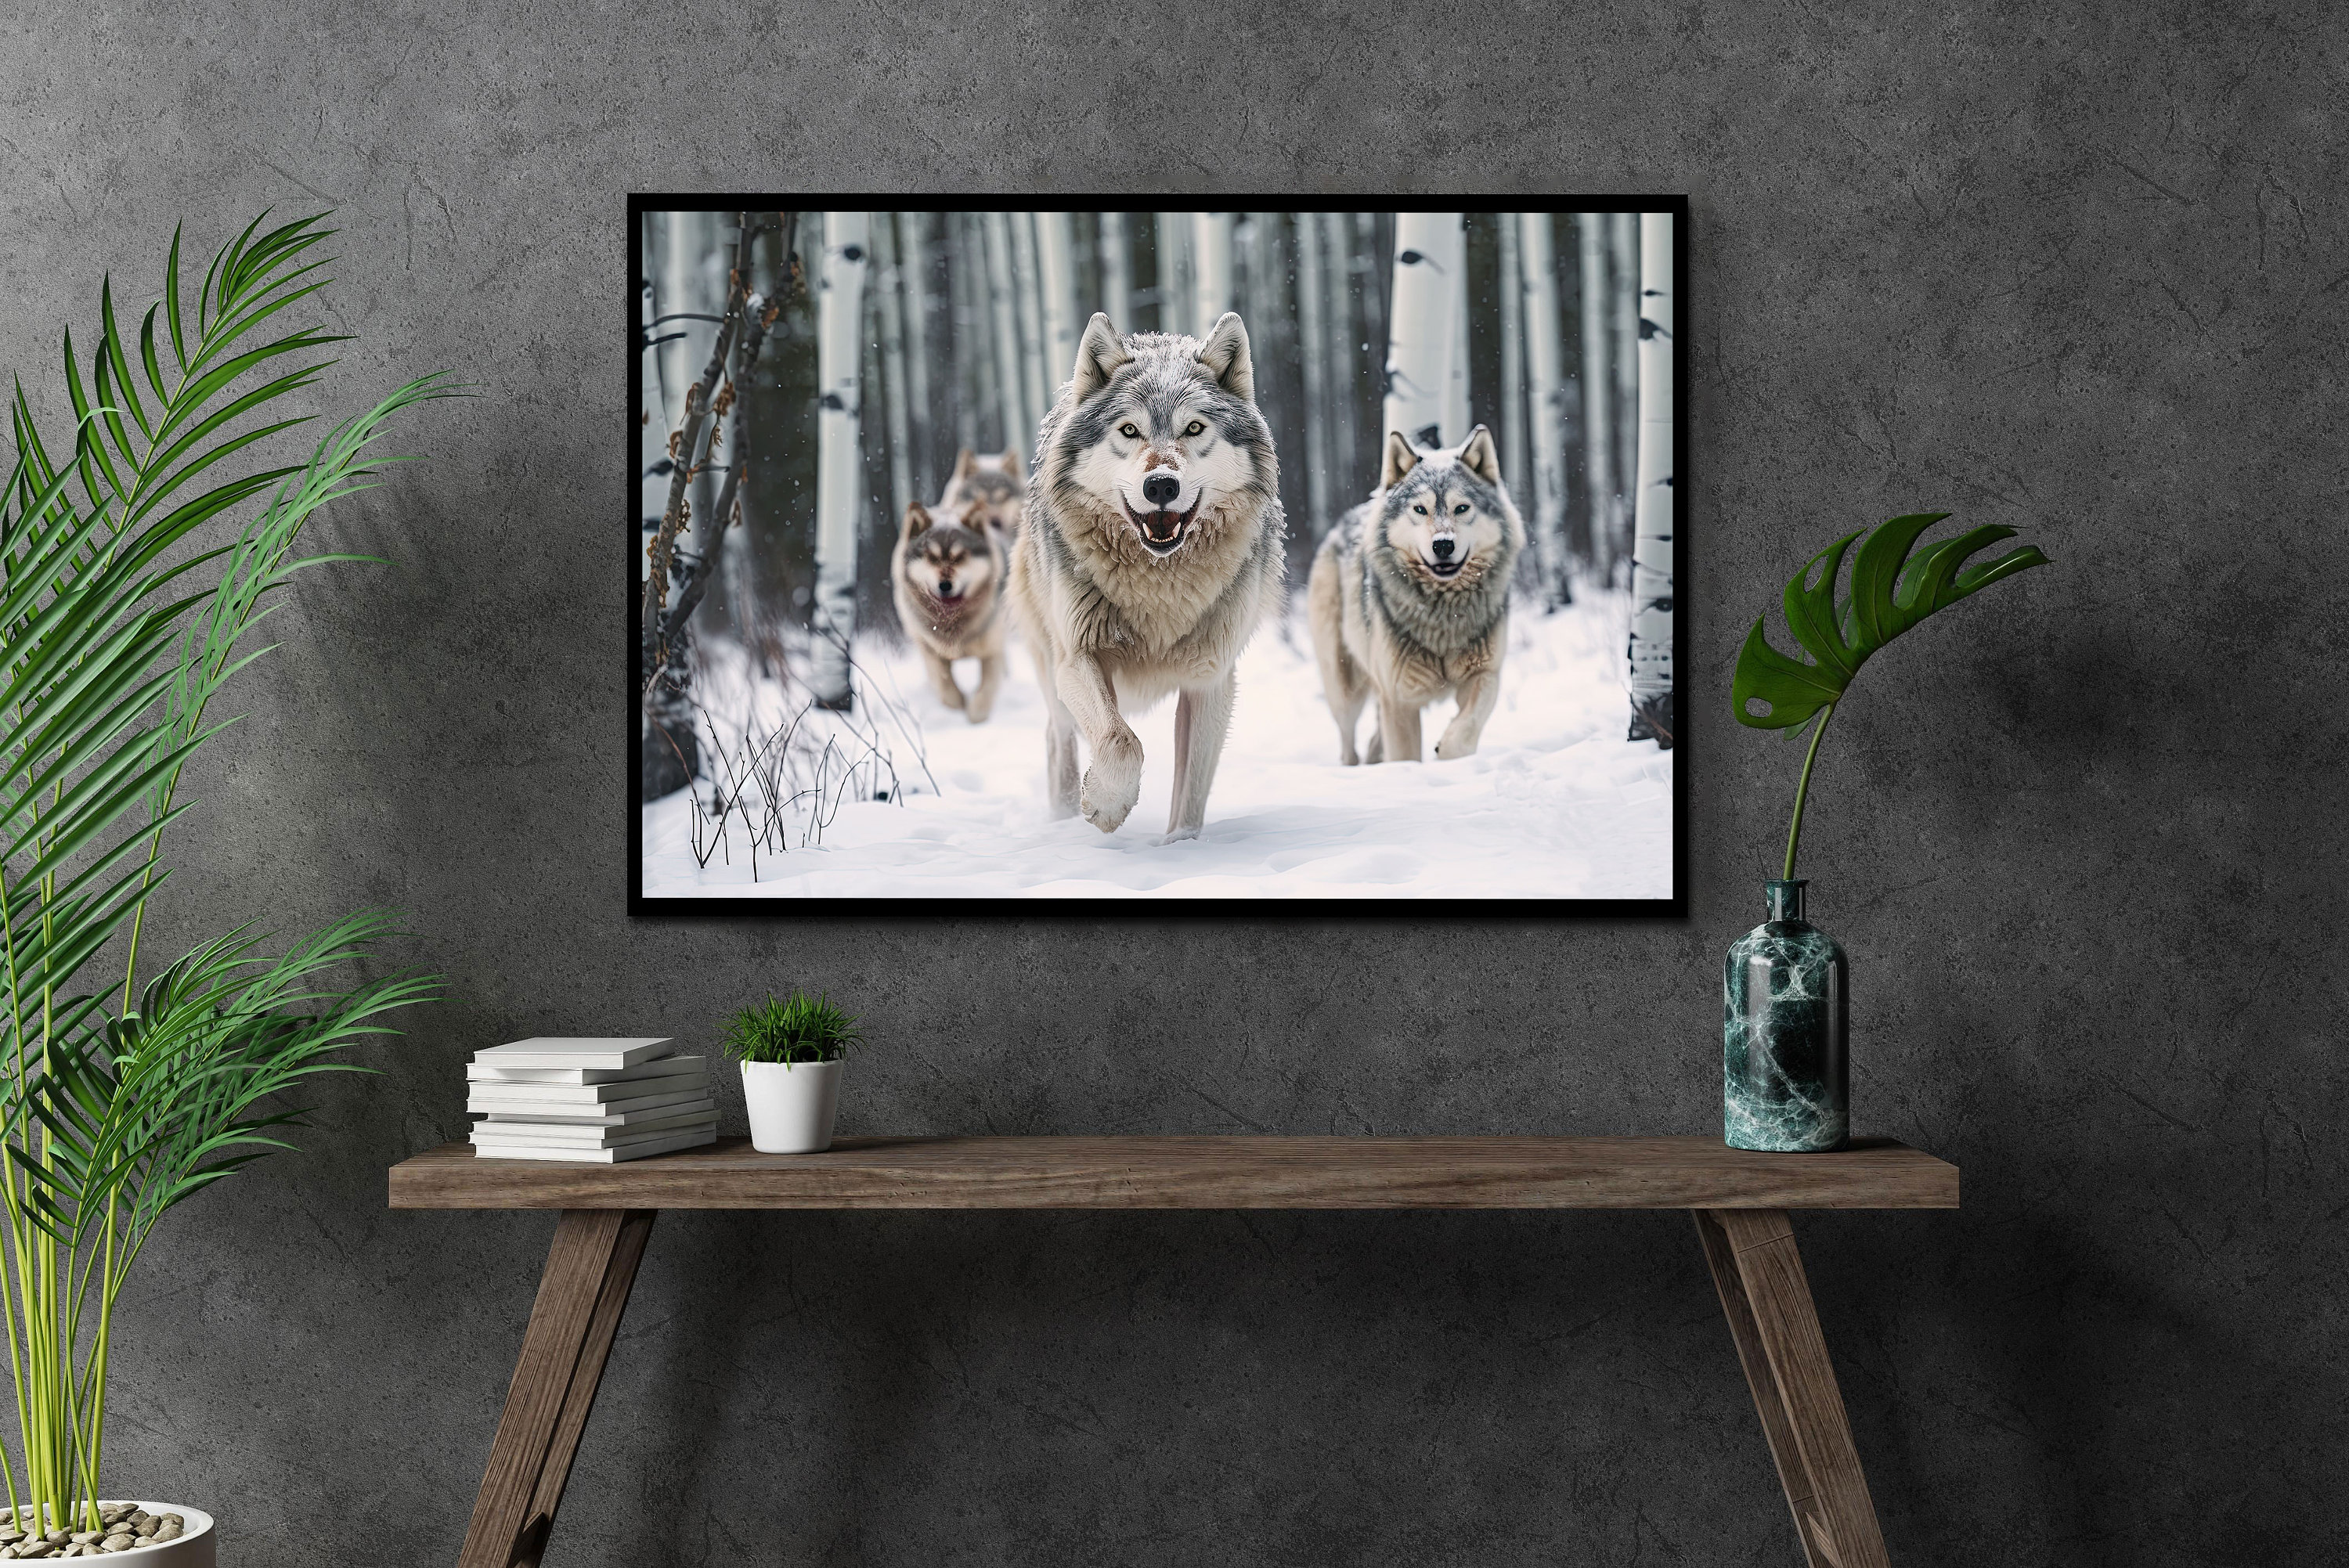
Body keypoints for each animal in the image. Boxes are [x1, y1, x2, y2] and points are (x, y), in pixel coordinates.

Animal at [890, 500, 1008, 722]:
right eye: (931, 557)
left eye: (960, 557)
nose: (945, 585)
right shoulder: (929, 650)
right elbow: (944, 683)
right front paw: (955, 705)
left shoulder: (993, 650)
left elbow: (986, 687)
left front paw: (976, 715)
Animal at [1009, 311, 1285, 840]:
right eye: (1130, 430)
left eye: (1194, 428)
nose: (1161, 485)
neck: (1159, 585)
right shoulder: (1078, 657)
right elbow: (1122, 742)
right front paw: (1106, 805)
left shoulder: (1210, 680)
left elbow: (1191, 794)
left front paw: (1180, 847)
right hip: (1050, 665)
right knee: (1060, 735)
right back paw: (1063, 815)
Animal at [1306, 425, 1525, 765]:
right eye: (1420, 509)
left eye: (1462, 508)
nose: (1443, 545)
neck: (1444, 614)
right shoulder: (1400, 699)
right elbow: (1405, 757)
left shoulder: (1485, 674)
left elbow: (1466, 728)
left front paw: (1446, 752)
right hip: (1345, 690)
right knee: (1348, 743)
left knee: (1373, 741)